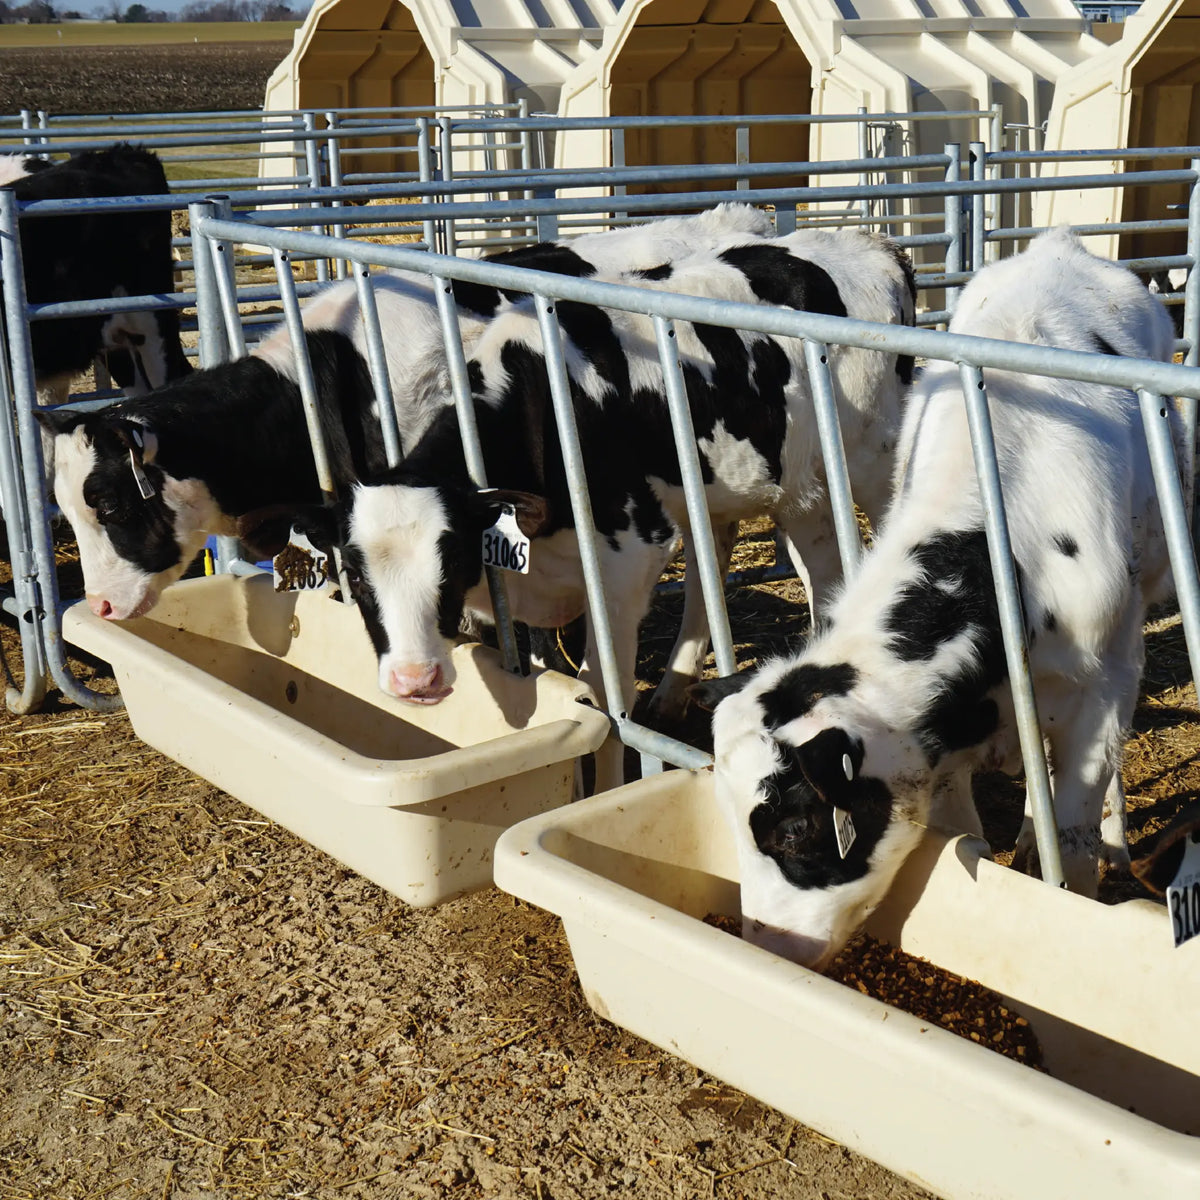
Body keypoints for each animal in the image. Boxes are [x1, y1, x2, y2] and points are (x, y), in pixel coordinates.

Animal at [281, 227, 917, 791]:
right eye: (356, 573)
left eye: (453, 560)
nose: (415, 680)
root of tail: (873, 245)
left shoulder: (629, 553)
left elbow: (606, 702)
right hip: (787, 485)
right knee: (806, 569)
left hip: (874, 460)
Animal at [703, 227, 1181, 970]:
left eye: (797, 829)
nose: (769, 944)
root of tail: (1060, 245)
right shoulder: (944, 742)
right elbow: (964, 835)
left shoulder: (1096, 691)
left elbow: (1074, 841)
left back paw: (1113, 835)